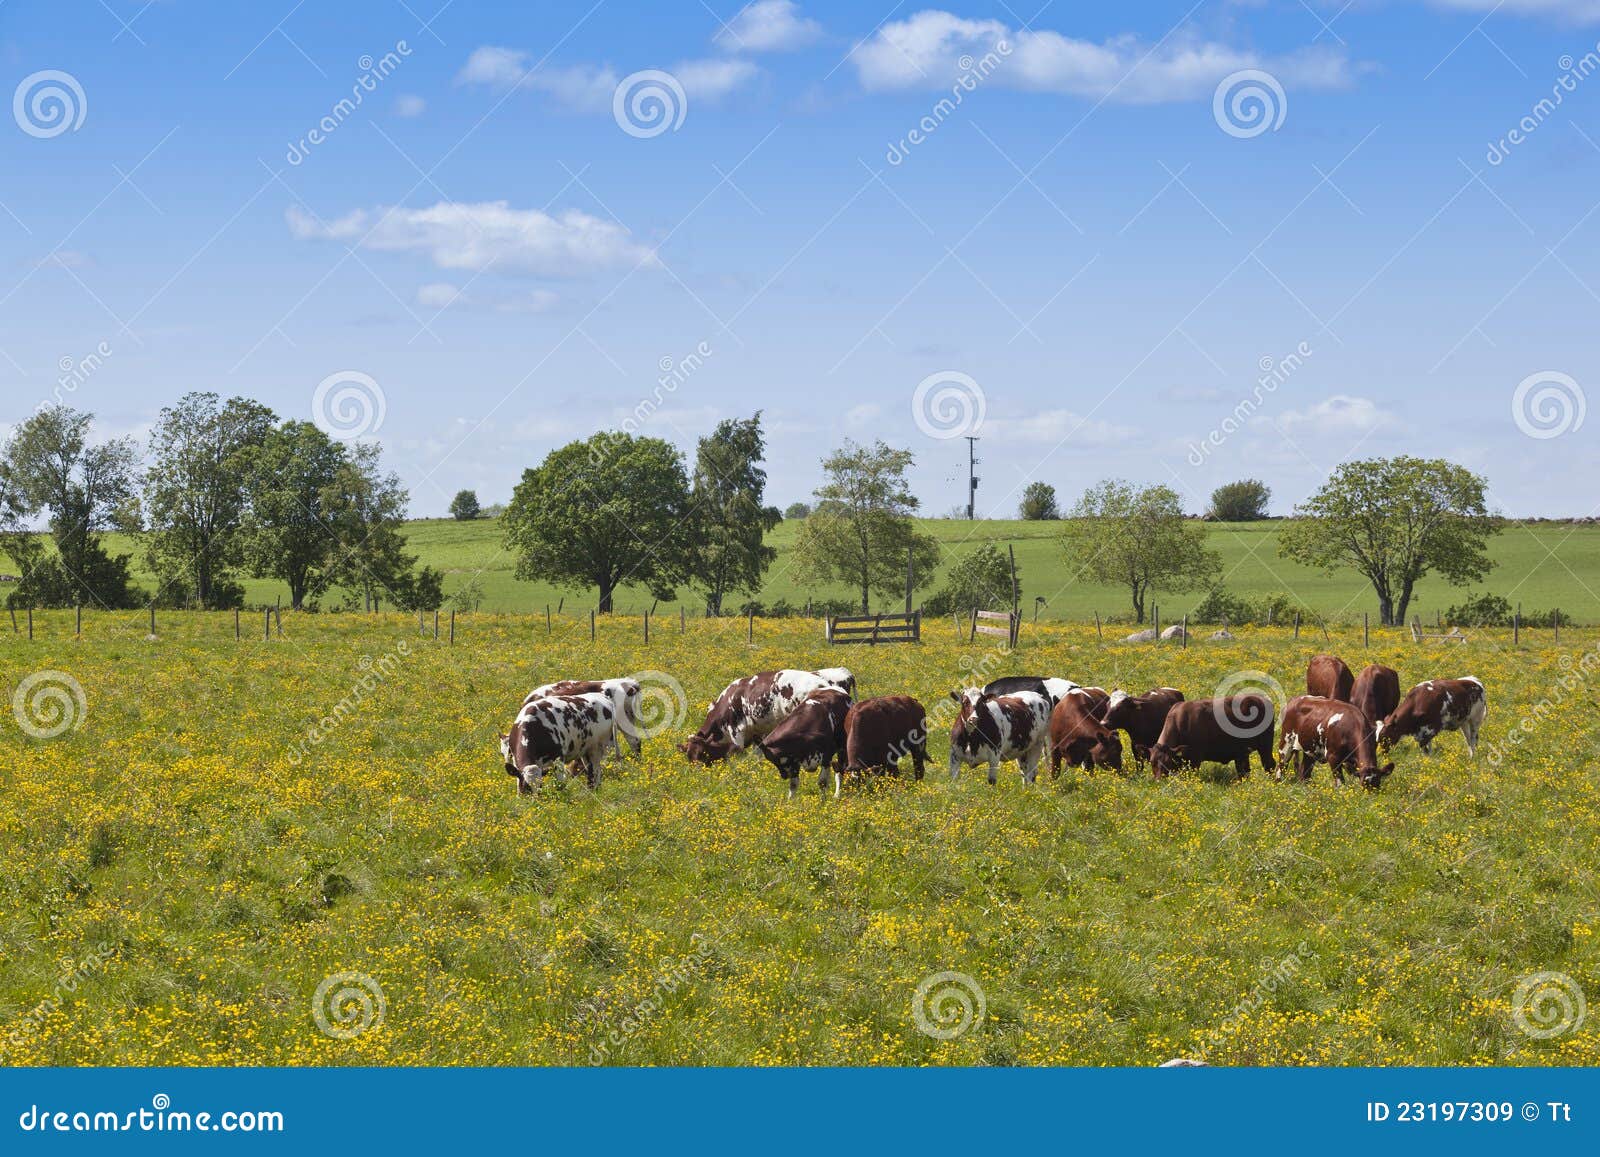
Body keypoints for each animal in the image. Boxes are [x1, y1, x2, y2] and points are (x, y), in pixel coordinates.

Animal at [1149, 696, 1277, 780]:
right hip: (1243, 752)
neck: (1180, 721)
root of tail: (1263, 700)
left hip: (1265, 746)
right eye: (1152, 762)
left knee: (1269, 764)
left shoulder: (1196, 757)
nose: (1159, 780)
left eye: (1167, 762)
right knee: (1244, 771)